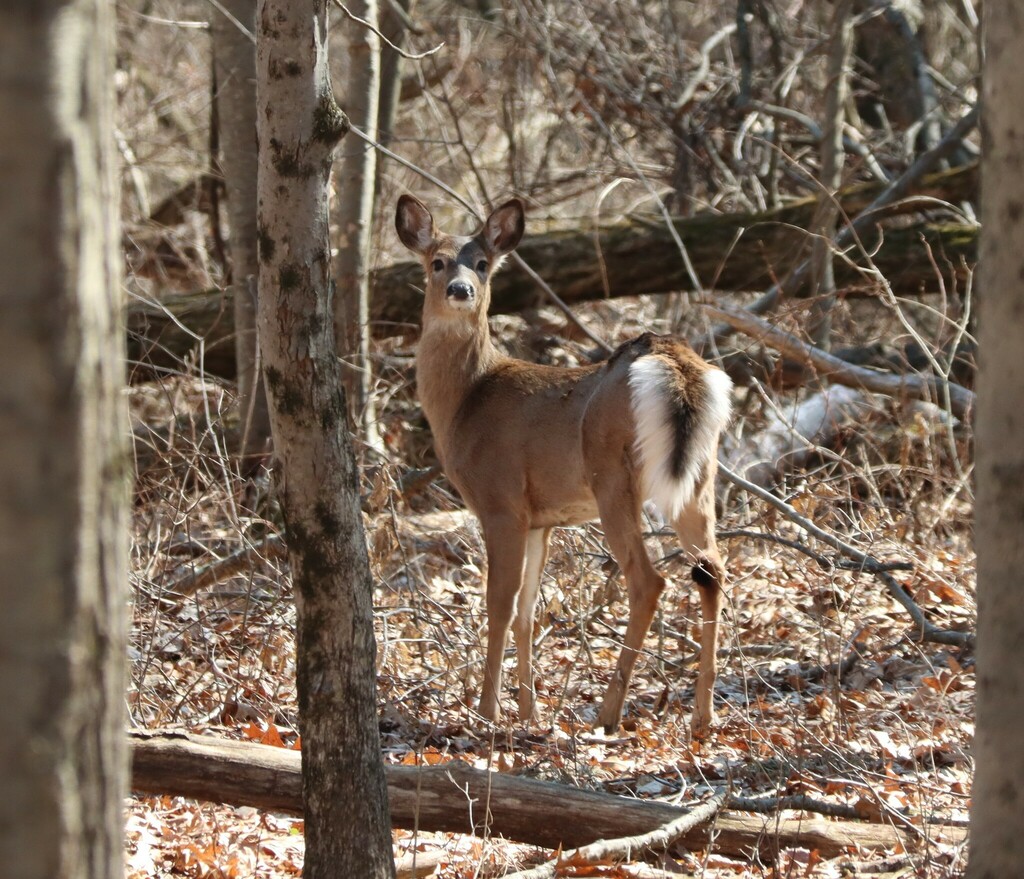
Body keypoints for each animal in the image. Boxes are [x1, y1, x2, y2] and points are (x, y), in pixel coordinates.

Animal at [396, 194, 733, 735]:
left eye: (483, 264)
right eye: (437, 261)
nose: (460, 290)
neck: (466, 402)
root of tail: (677, 363)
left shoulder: (502, 502)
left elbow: (499, 603)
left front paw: (486, 713)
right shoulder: (542, 519)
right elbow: (528, 611)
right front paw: (529, 713)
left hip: (613, 476)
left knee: (650, 580)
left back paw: (609, 713)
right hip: (700, 478)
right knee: (712, 571)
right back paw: (702, 716)